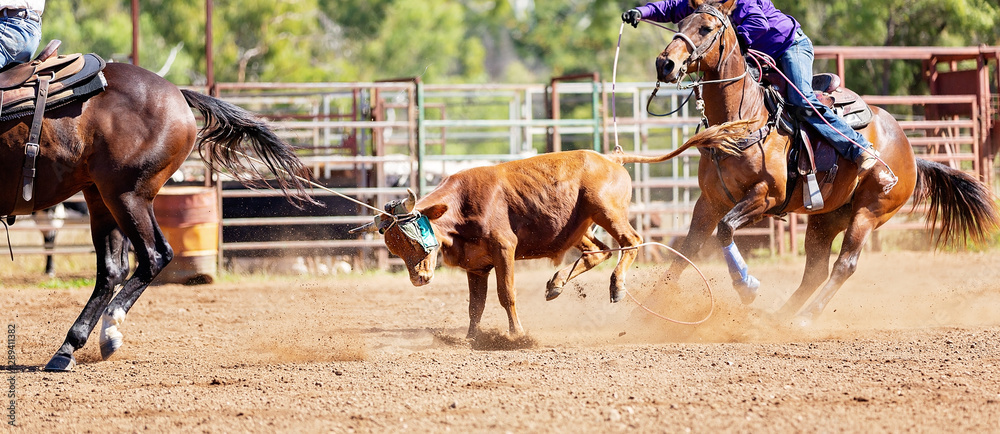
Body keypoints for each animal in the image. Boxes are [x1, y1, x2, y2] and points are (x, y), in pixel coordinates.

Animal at [352, 121, 753, 338]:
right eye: (394, 247)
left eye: (414, 238)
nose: (419, 278)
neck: (463, 204)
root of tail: (612, 158)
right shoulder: (477, 266)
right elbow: (475, 307)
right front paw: (471, 337)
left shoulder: (504, 249)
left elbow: (506, 295)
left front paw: (516, 334)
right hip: (579, 226)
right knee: (598, 251)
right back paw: (557, 284)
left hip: (605, 210)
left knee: (631, 241)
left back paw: (617, 285)